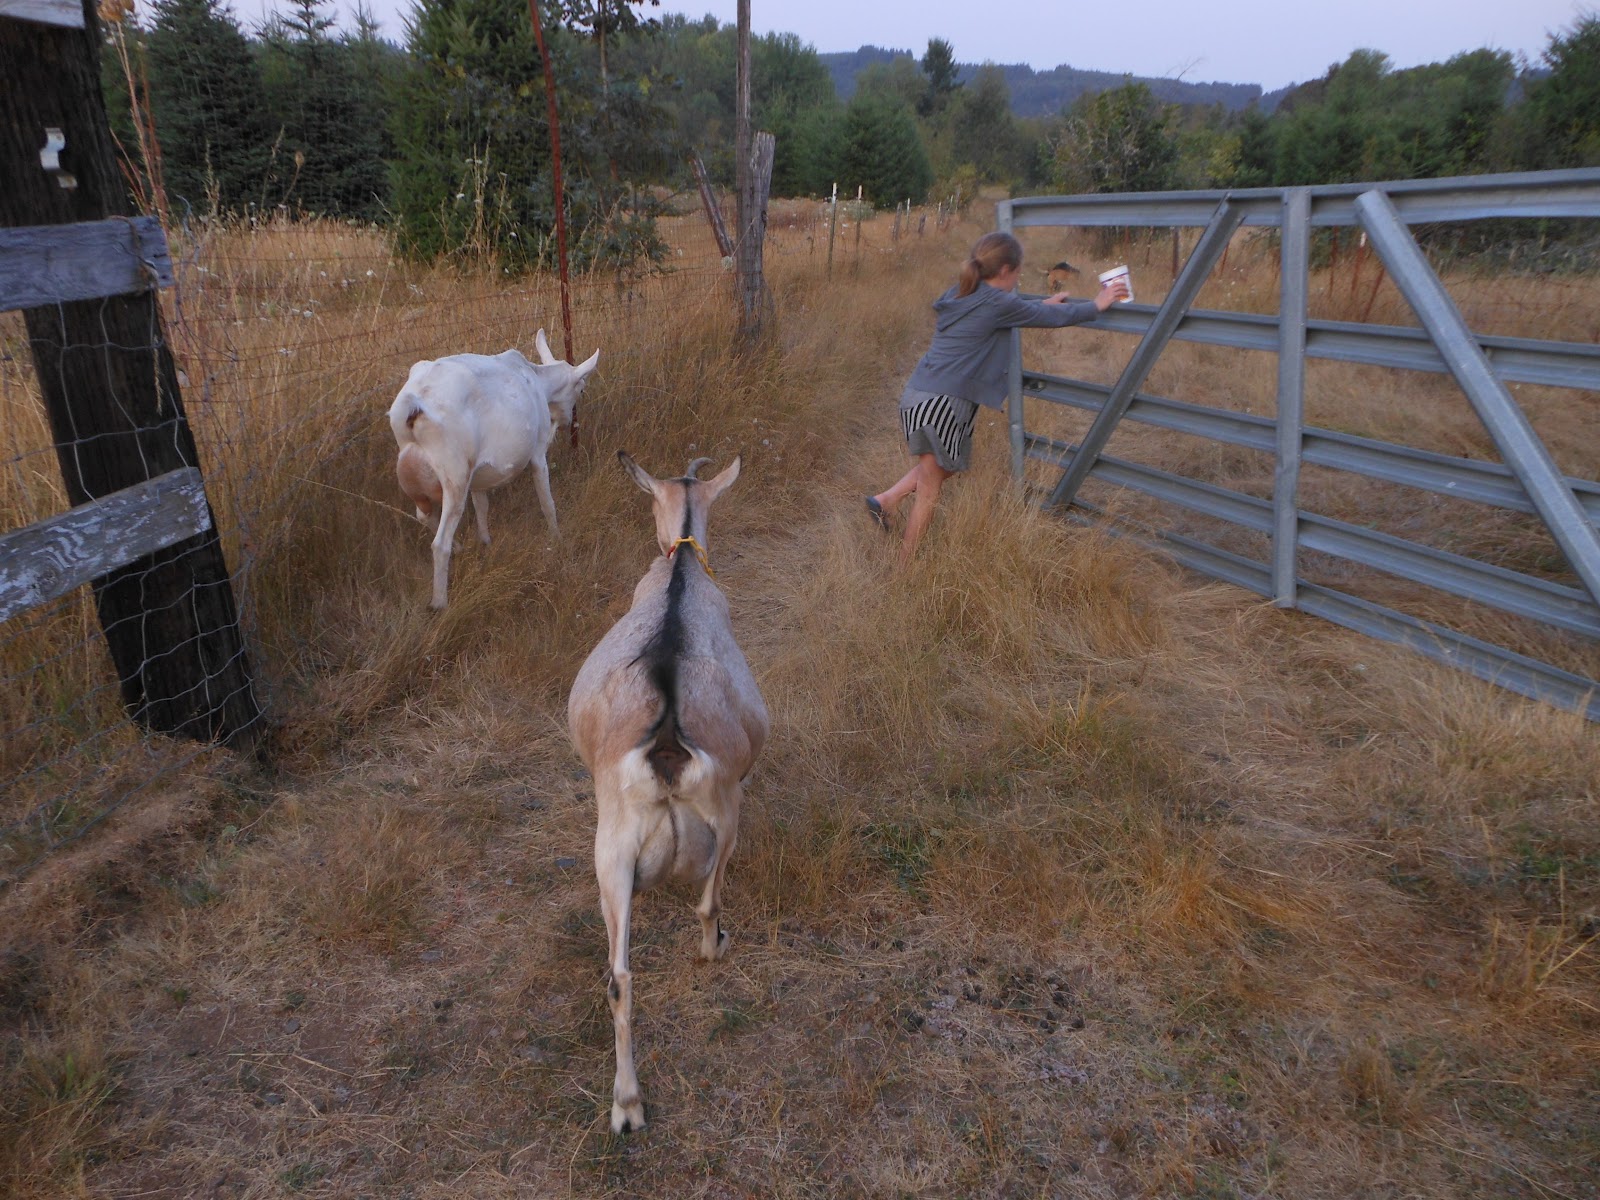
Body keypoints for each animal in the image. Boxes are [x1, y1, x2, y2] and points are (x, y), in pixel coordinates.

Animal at [389, 329, 599, 608]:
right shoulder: (537, 451)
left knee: (423, 515)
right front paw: (558, 539)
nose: (567, 422)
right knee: (439, 543)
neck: (537, 381)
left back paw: (459, 548)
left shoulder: (478, 475)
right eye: (581, 389)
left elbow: (482, 506)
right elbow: (547, 502)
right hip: (454, 473)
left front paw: (486, 542)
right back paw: (440, 602)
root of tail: (411, 407)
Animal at [567, 453, 768, 1133]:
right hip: (718, 817)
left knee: (627, 969)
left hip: (615, 852)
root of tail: (667, 742)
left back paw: (627, 1103)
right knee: (695, 915)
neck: (680, 567)